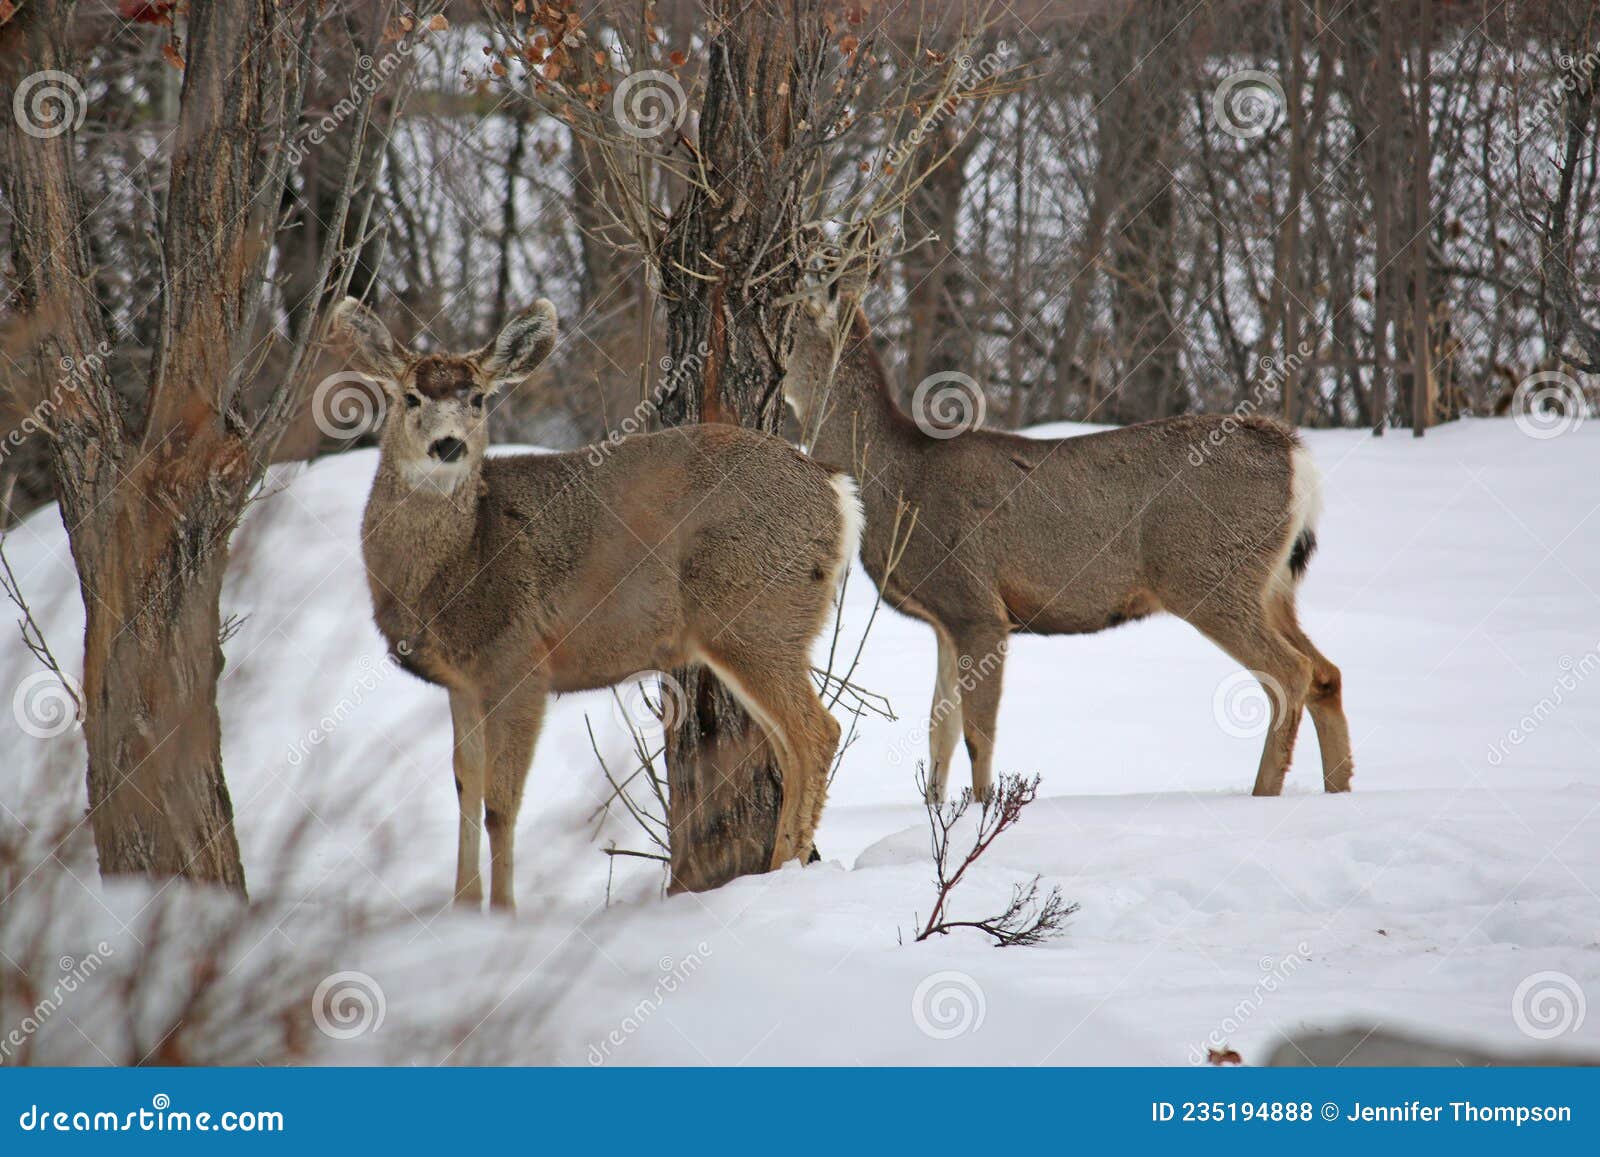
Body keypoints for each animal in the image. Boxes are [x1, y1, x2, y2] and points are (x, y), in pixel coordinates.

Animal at [330, 297, 860, 911]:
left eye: (479, 398)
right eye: (411, 396)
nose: (448, 446)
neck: (458, 561)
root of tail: (836, 490)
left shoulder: (520, 661)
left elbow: (500, 803)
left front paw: (501, 913)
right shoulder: (461, 681)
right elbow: (464, 788)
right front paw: (461, 906)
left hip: (755, 615)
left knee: (817, 732)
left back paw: (781, 873)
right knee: (791, 744)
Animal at [780, 248, 1353, 805]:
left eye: (789, 317)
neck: (897, 479)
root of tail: (1297, 457)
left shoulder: (977, 606)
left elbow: (977, 735)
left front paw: (980, 812)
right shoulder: (946, 619)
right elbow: (937, 733)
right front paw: (935, 813)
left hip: (1209, 574)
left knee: (1291, 673)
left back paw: (1263, 796)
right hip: (1273, 583)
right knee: (1327, 673)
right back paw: (1339, 791)